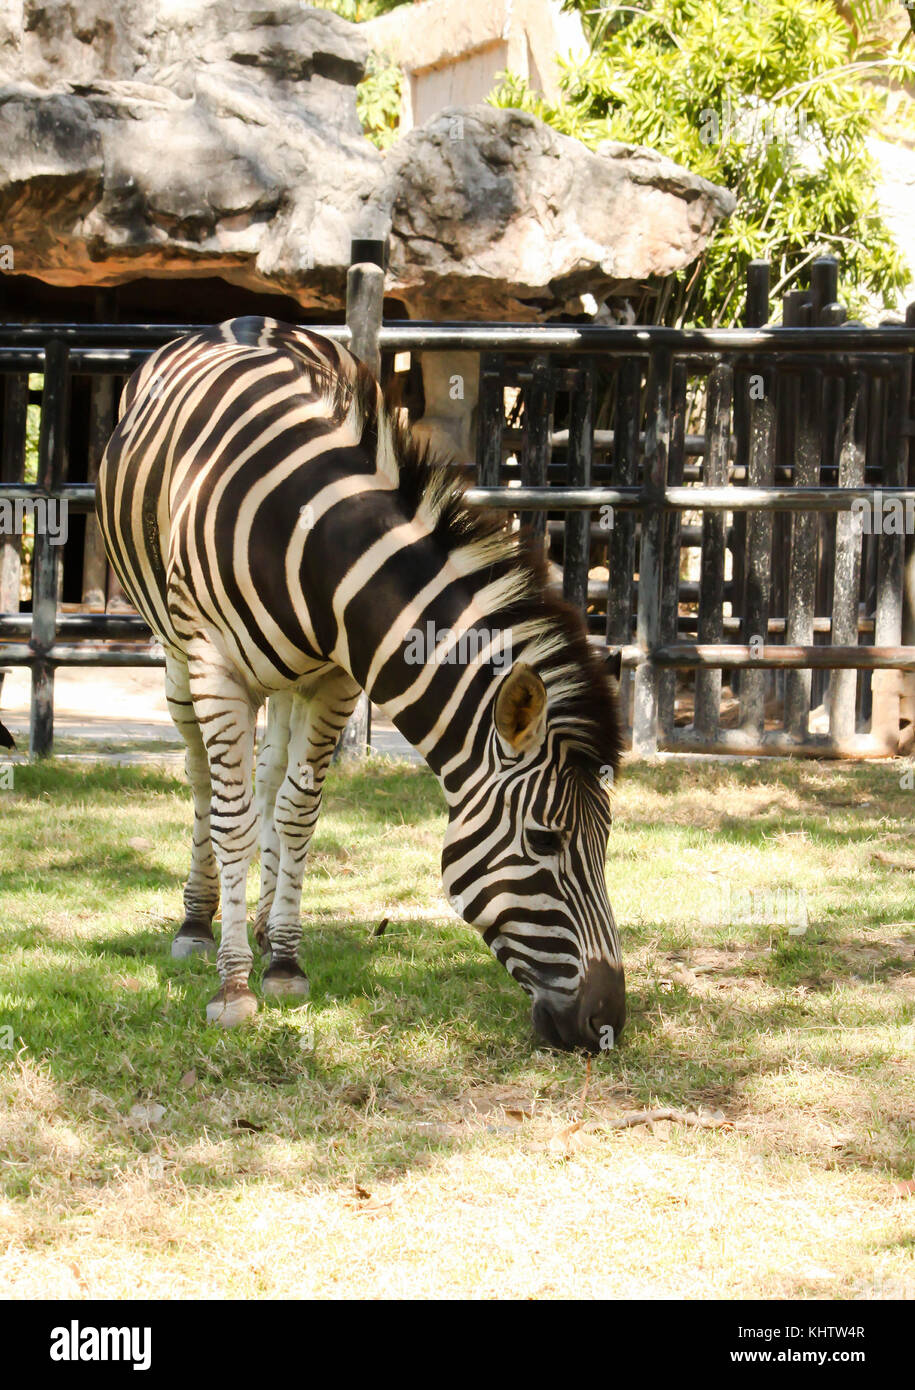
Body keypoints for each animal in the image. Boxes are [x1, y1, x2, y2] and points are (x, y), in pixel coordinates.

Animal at [96, 316, 625, 1051]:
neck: (309, 535)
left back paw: (262, 922)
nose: (609, 1025)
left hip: (288, 678)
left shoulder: (339, 678)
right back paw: (199, 923)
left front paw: (284, 961)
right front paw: (233, 987)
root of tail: (240, 322)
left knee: (270, 776)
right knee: (203, 777)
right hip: (177, 653)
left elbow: (296, 812)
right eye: (545, 841)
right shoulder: (216, 666)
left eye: (606, 844)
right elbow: (232, 821)